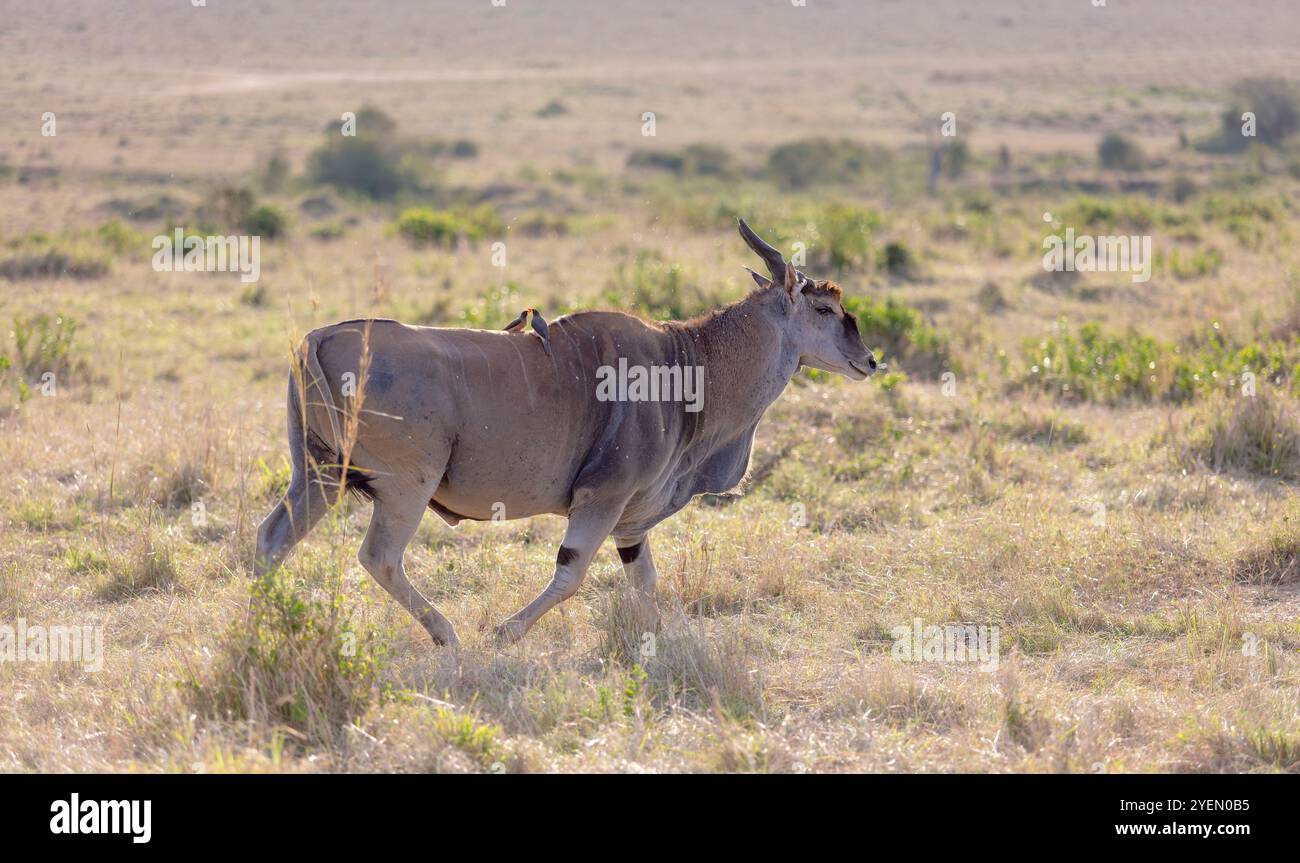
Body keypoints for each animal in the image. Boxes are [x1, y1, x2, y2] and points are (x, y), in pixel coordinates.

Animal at [253, 220, 877, 645]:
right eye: (825, 310)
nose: (870, 361)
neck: (687, 361)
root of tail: (319, 336)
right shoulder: (602, 498)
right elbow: (571, 572)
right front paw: (503, 633)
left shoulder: (630, 522)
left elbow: (644, 582)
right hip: (407, 485)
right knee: (380, 557)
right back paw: (447, 634)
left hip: (317, 477)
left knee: (271, 539)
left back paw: (260, 619)